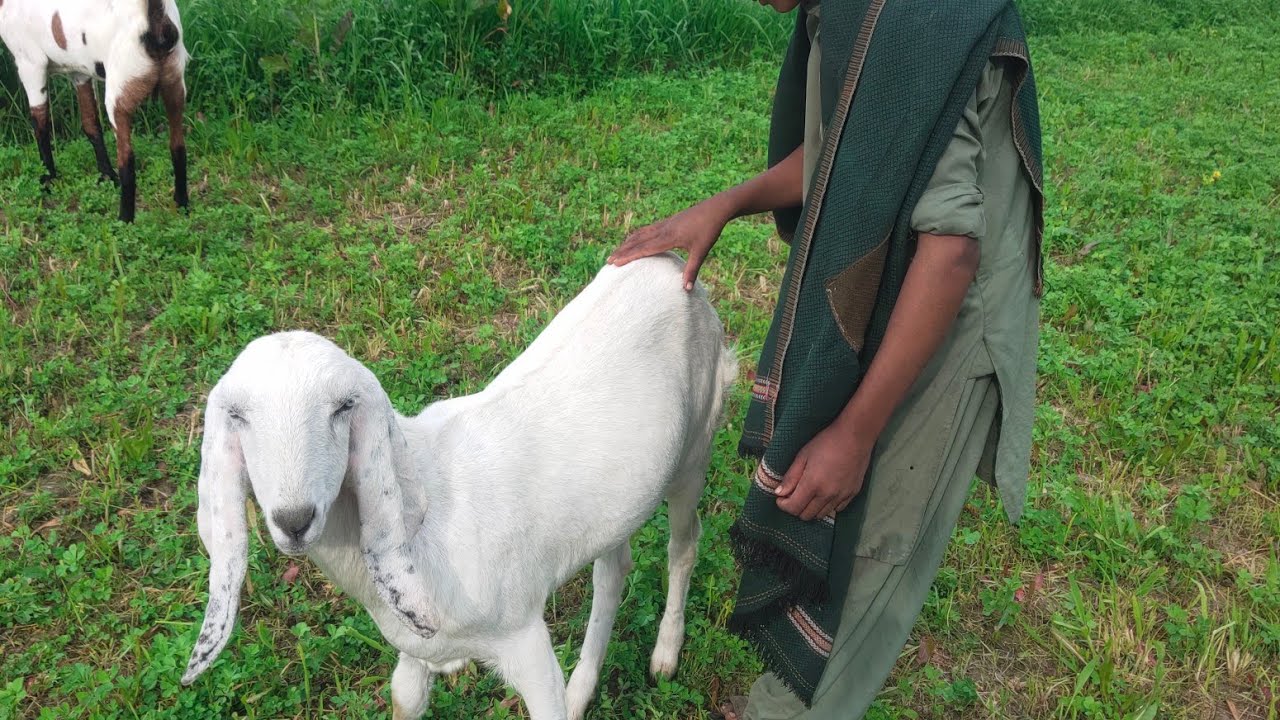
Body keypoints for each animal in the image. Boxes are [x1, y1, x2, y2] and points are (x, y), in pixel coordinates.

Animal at [0, 0, 188, 222]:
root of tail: (155, 19)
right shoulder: (79, 73)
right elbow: (91, 124)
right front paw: (106, 176)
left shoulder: (30, 64)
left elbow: (41, 126)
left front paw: (47, 180)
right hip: (174, 86)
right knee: (178, 146)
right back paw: (182, 205)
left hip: (119, 95)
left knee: (127, 159)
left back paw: (124, 220)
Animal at [180, 253, 738, 720]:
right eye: (237, 415)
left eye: (343, 407)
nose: (293, 520)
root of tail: (672, 264)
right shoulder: (415, 642)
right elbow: (405, 697)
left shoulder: (523, 637)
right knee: (614, 569)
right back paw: (582, 689)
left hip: (696, 447)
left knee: (684, 544)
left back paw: (664, 654)